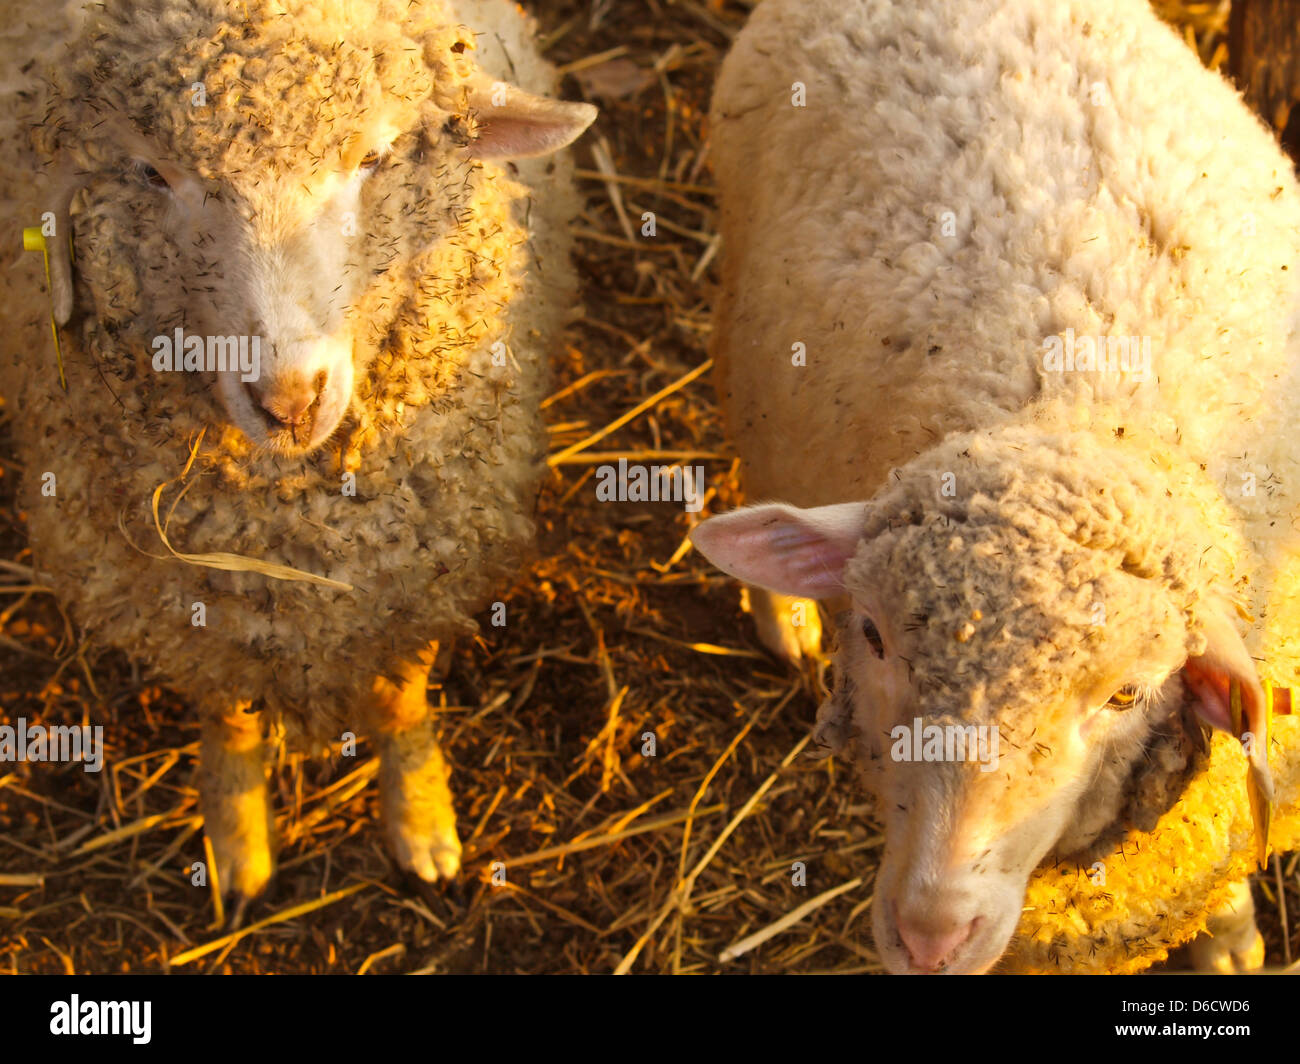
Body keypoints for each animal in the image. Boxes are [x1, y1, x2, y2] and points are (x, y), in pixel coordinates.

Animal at [0, 0, 595, 912]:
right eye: (150, 174)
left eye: (376, 157)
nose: (288, 400)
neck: (295, 528)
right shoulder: (194, 602)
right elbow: (229, 713)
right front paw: (238, 841)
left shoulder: (418, 565)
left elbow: (401, 697)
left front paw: (421, 819)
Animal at [691, 0, 1300, 974]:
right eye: (874, 636)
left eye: (1129, 696)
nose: (930, 935)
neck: (1081, 414)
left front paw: (1231, 934)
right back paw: (782, 620)